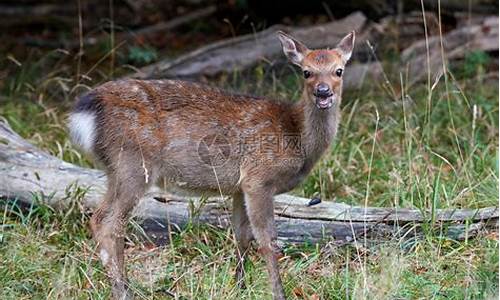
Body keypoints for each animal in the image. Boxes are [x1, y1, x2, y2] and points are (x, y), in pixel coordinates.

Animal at [68, 31, 356, 300]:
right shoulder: (259, 178)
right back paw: (122, 290)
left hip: (116, 170)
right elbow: (268, 240)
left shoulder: (240, 187)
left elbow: (242, 235)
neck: (296, 137)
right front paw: (278, 292)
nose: (323, 92)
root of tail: (84, 114)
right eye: (307, 72)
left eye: (339, 70)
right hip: (133, 165)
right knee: (106, 221)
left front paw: (239, 286)